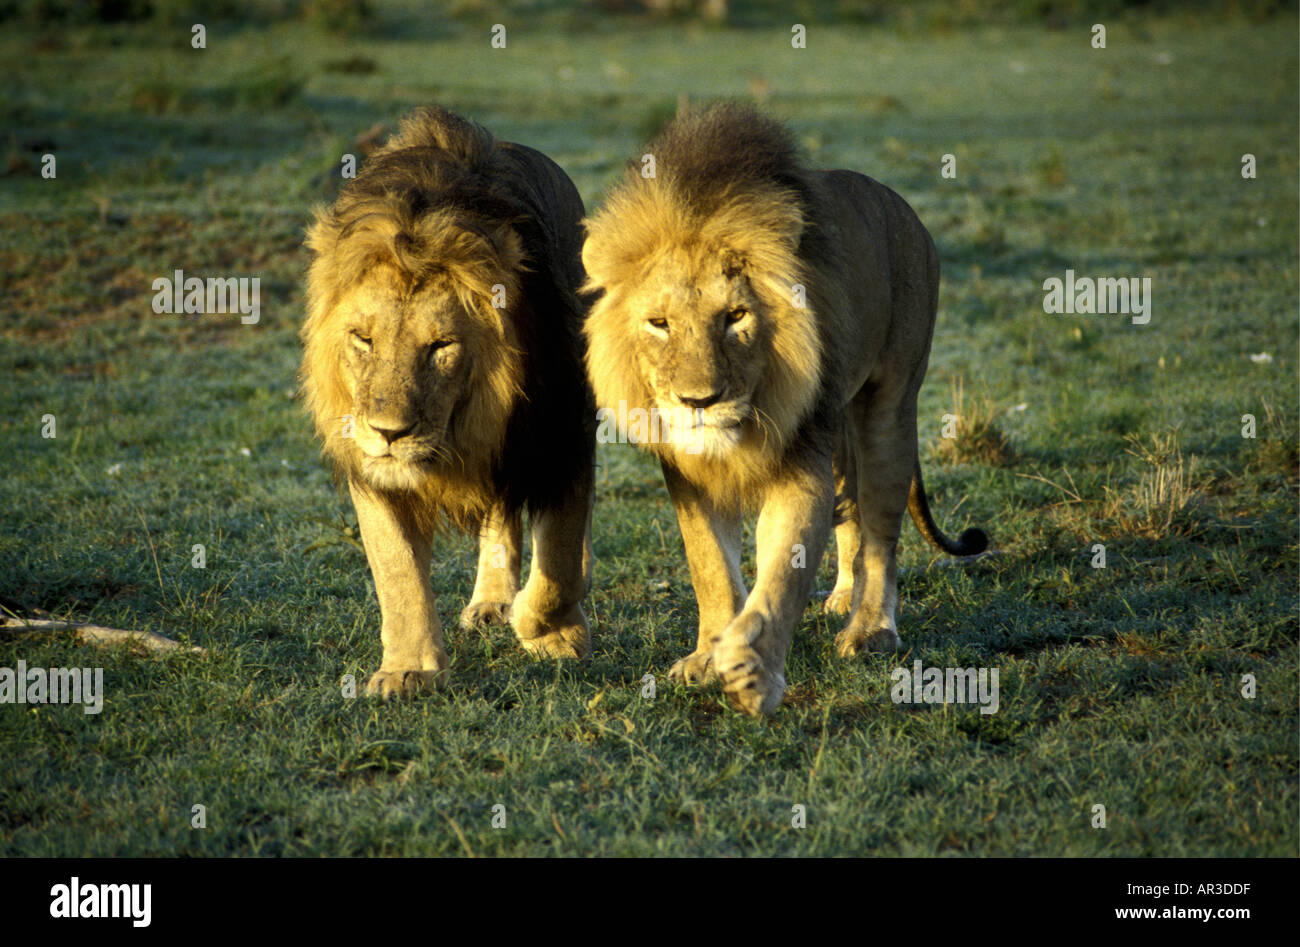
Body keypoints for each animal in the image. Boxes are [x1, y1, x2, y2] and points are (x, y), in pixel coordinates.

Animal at [301, 106, 595, 698]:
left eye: (441, 347)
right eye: (363, 339)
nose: (389, 432)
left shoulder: (563, 433)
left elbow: (558, 556)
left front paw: (549, 632)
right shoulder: (373, 471)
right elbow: (396, 569)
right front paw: (408, 668)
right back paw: (491, 601)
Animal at [582, 103, 987, 716]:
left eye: (736, 316)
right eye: (659, 323)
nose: (699, 401)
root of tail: (900, 204)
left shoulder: (800, 462)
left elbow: (779, 578)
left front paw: (751, 670)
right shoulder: (688, 473)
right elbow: (710, 565)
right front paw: (707, 656)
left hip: (890, 404)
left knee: (881, 527)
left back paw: (870, 629)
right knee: (854, 512)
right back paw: (842, 595)